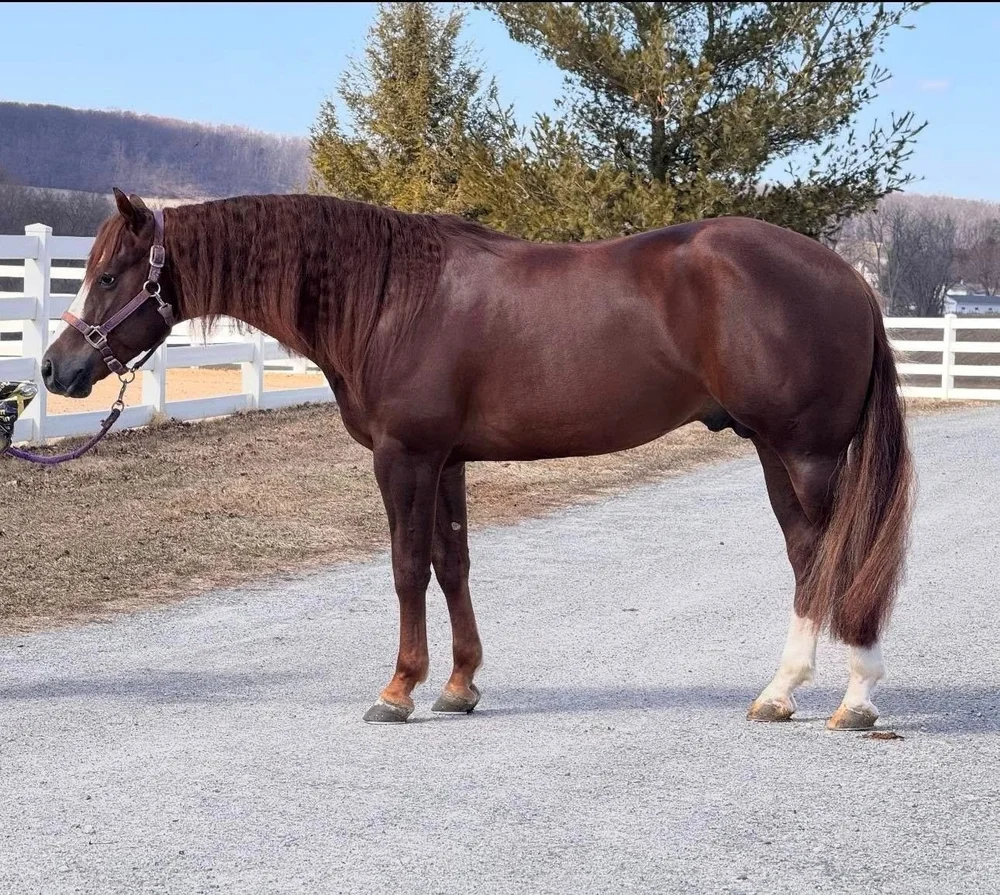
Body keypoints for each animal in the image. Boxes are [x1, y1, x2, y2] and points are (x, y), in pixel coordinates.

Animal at [43, 189, 913, 729]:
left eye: (110, 275)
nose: (56, 370)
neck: (391, 299)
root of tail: (850, 279)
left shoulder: (405, 456)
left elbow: (405, 567)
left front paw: (399, 687)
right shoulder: (447, 460)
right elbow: (452, 562)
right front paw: (459, 685)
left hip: (804, 454)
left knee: (837, 557)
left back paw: (855, 698)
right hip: (775, 453)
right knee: (809, 559)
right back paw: (781, 693)